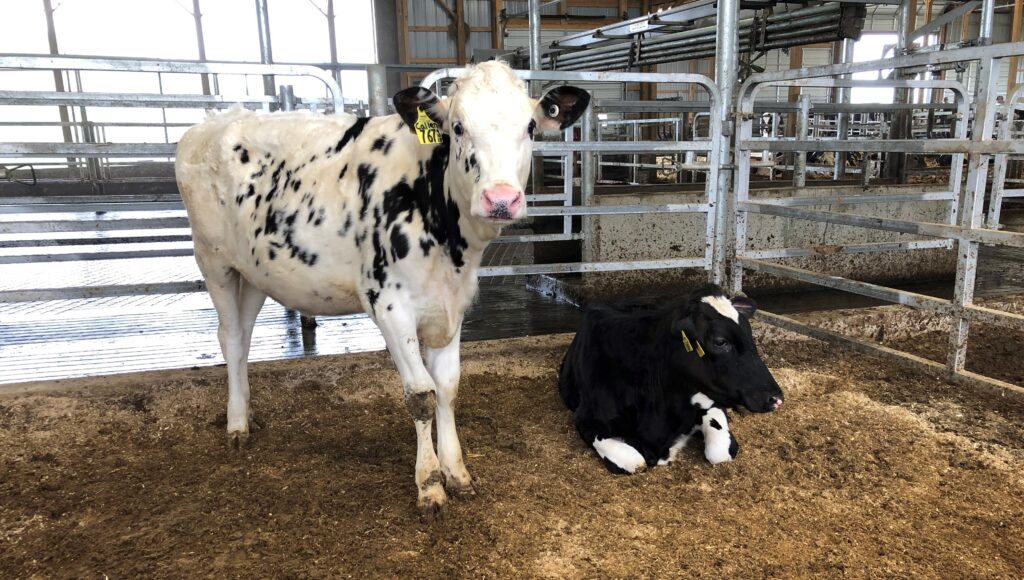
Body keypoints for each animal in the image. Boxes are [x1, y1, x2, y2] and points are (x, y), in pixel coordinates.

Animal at [174, 61, 590, 515]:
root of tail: (214, 121)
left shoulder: (453, 304)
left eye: (530, 126)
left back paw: (246, 414)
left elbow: (448, 388)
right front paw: (429, 484)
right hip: (214, 262)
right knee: (231, 337)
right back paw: (235, 425)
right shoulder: (388, 306)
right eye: (458, 127)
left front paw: (457, 471)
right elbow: (421, 394)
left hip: (253, 273)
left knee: (245, 337)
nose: (500, 199)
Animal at [557, 284, 783, 474]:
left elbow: (719, 452)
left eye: (750, 335)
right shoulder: (586, 418)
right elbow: (633, 461)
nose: (776, 398)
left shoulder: (711, 402)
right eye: (720, 342)